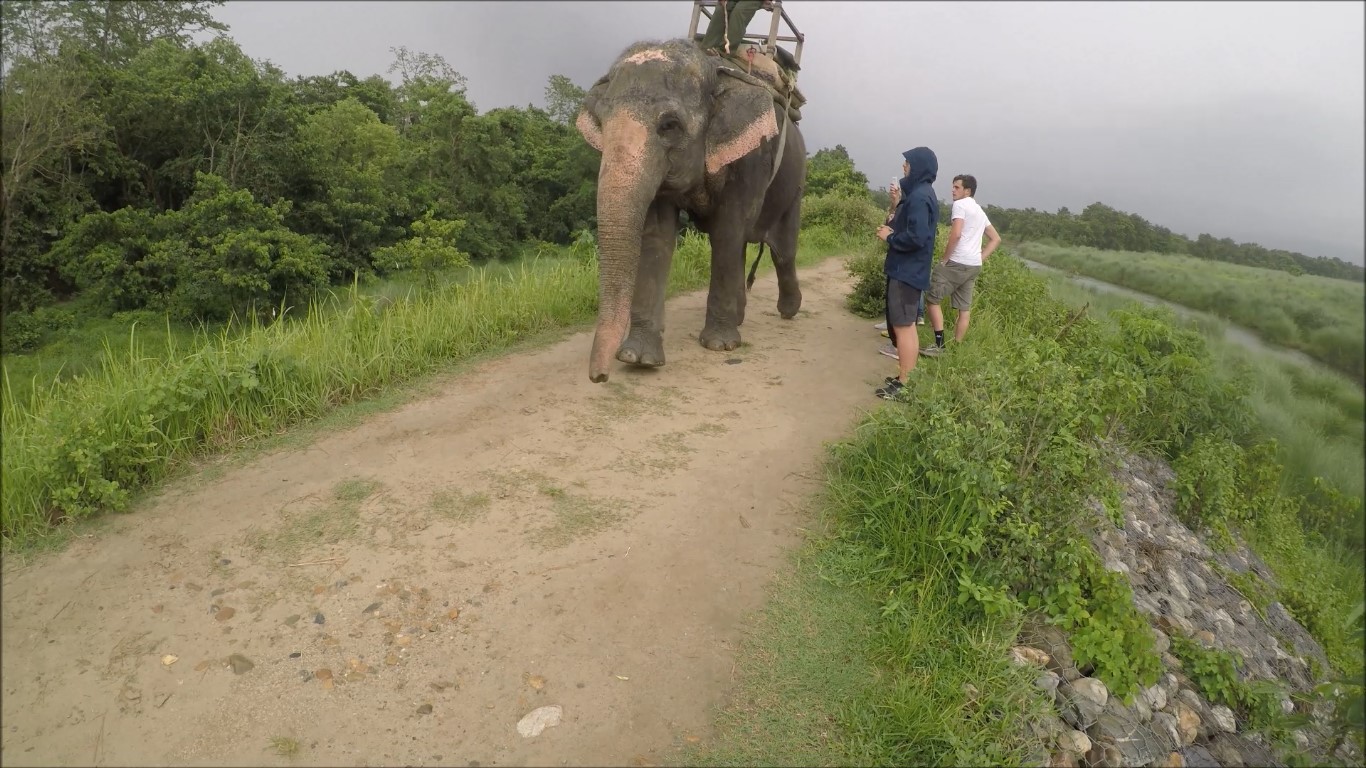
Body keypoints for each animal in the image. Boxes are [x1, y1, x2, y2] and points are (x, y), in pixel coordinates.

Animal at [574, 38, 807, 384]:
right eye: (602, 124)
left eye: (669, 125)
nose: (599, 377)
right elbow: (658, 236)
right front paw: (637, 358)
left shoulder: (750, 158)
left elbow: (727, 231)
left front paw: (719, 346)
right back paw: (740, 317)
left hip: (796, 183)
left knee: (782, 251)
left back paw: (788, 311)